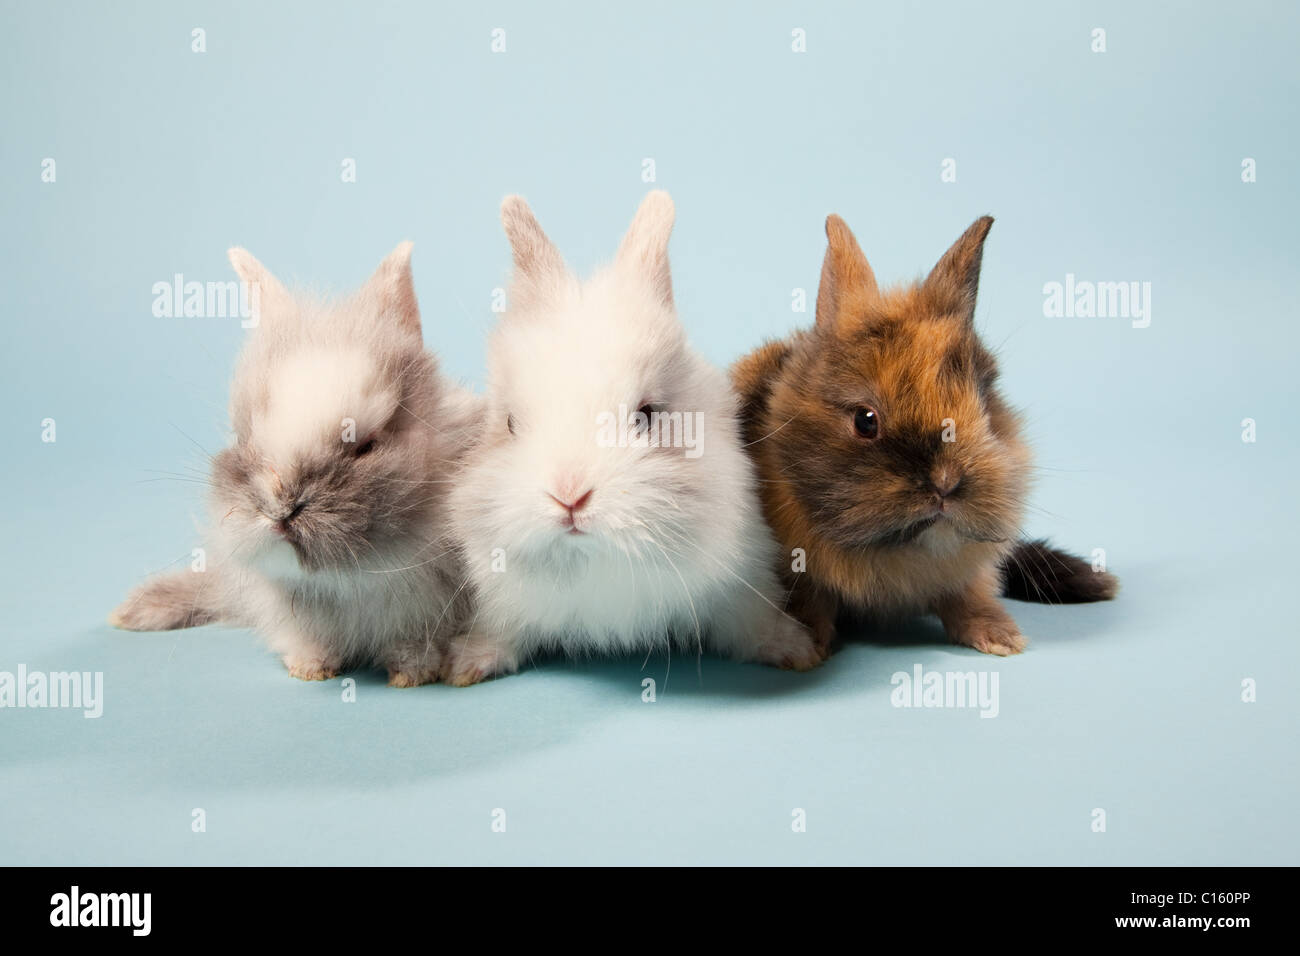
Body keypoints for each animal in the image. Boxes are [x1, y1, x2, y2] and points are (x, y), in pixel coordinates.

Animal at [109, 242, 483, 685]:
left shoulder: (428, 614)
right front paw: (309, 669)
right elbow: (307, 642)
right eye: (241, 437)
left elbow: (413, 644)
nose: (281, 509)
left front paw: (411, 676)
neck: (351, 582)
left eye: (366, 445)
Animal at [441, 191, 823, 686]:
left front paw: (796, 649)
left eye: (647, 414)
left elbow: (752, 621)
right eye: (510, 424)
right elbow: (502, 629)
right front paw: (465, 663)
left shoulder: (744, 576)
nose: (569, 496)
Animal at [731, 214, 1118, 657]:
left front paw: (1000, 638)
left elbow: (968, 597)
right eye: (865, 420)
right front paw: (805, 648)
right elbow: (811, 601)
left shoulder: (967, 574)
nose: (946, 482)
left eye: (985, 403)